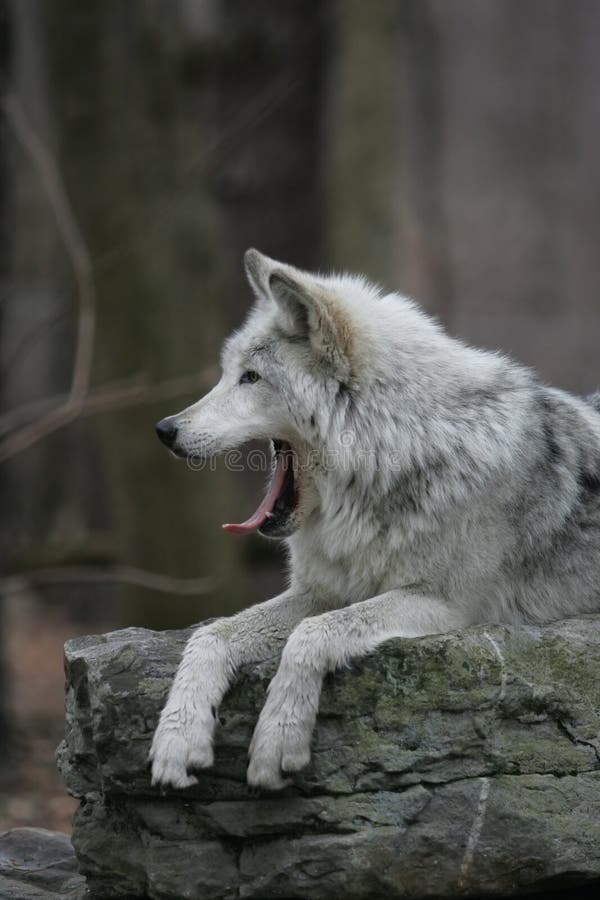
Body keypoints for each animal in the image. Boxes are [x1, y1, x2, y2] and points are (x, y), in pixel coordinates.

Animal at [150, 249, 600, 791]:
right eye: (227, 373)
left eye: (251, 378)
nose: (164, 429)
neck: (396, 454)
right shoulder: (322, 592)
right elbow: (211, 634)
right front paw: (177, 739)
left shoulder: (444, 604)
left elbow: (311, 635)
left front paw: (278, 738)